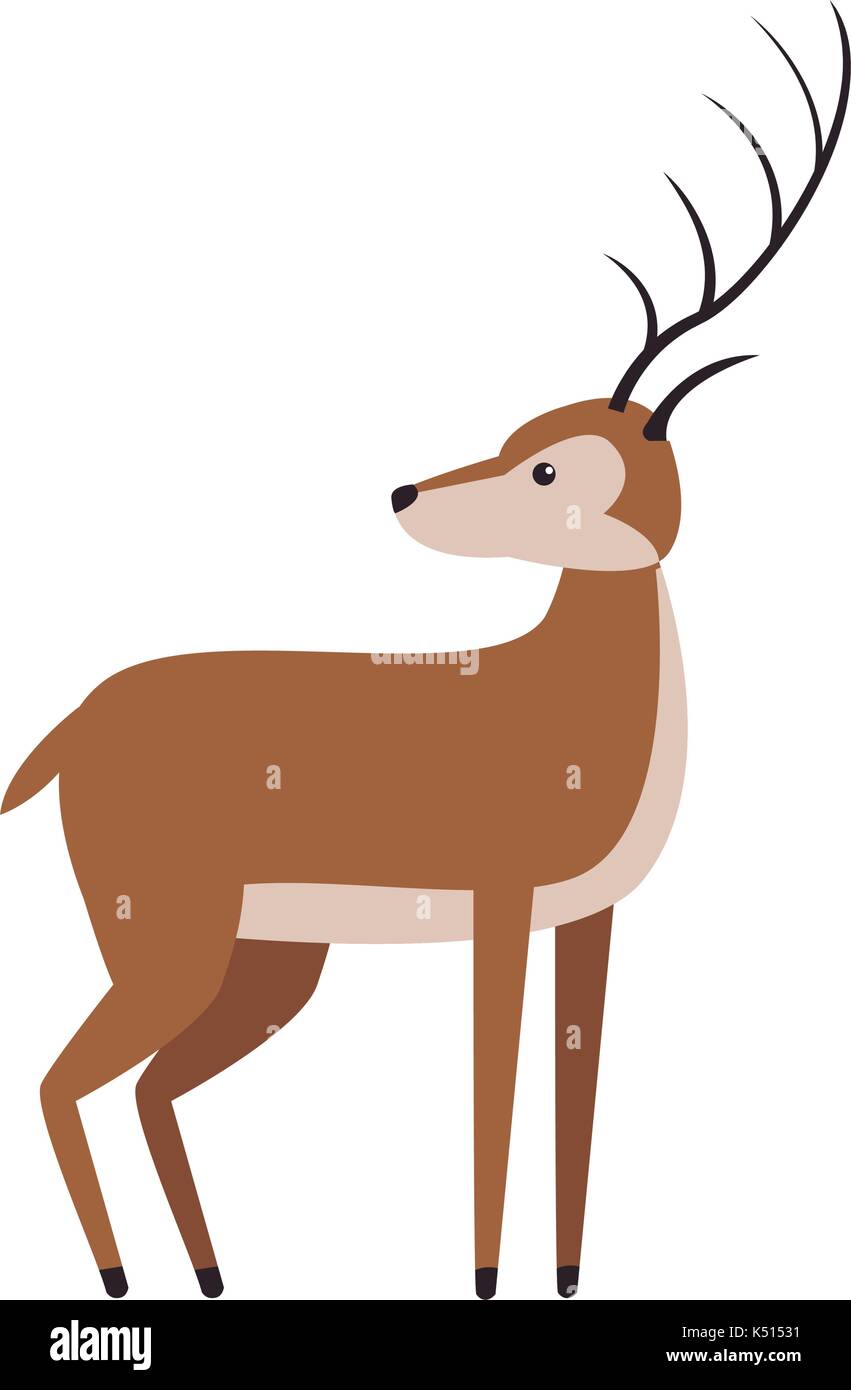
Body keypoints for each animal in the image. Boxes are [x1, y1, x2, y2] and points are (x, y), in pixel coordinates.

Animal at [2, 5, 848, 1302]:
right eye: (520, 439)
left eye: (544, 466)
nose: (401, 491)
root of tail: (74, 720)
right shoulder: (497, 907)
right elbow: (490, 1098)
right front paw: (488, 1280)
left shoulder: (586, 921)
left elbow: (570, 1097)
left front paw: (562, 1278)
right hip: (173, 941)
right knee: (61, 1079)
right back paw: (117, 1284)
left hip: (268, 965)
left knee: (139, 1088)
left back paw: (212, 1275)